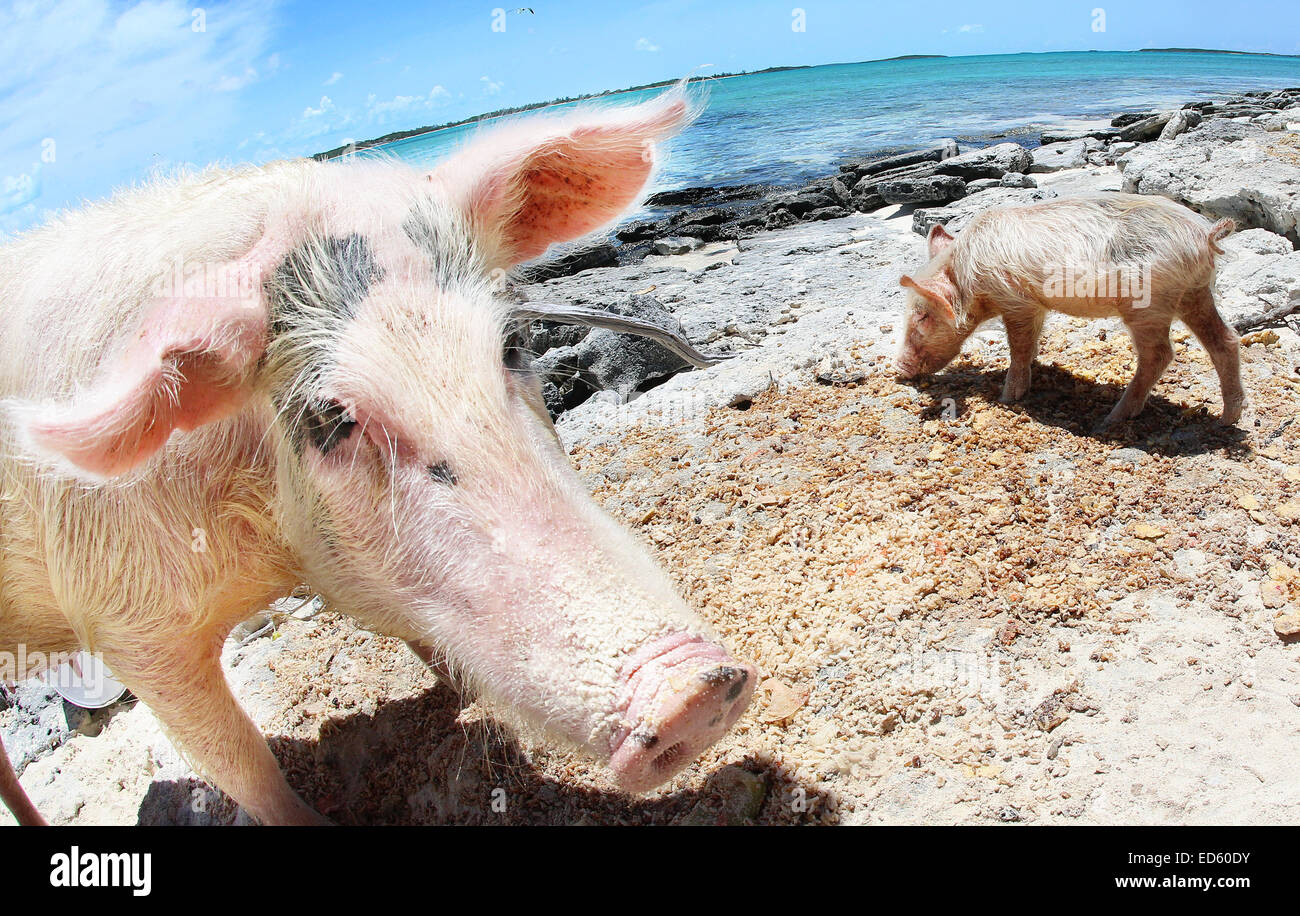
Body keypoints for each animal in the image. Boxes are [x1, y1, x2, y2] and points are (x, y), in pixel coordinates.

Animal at [0, 89, 759, 826]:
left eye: (511, 344)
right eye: (333, 419)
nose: (691, 694)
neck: (276, 555)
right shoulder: (121, 618)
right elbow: (240, 761)